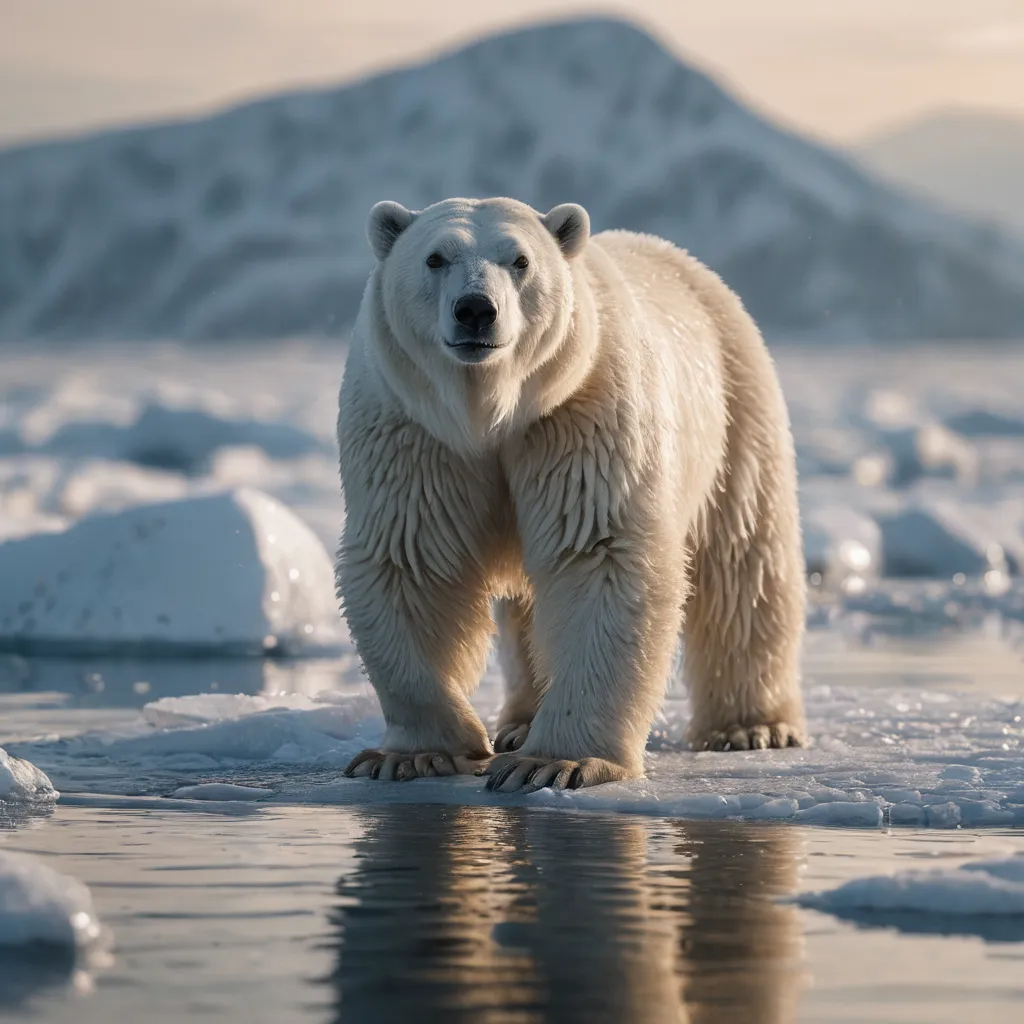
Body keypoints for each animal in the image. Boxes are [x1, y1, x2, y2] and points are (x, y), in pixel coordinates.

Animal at [336, 196, 806, 792]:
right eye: (435, 257)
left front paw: (555, 762)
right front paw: (411, 756)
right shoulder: (415, 431)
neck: (490, 413)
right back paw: (519, 722)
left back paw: (752, 727)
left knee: (744, 565)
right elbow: (411, 559)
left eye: (520, 260)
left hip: (734, 400)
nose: (475, 310)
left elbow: (598, 555)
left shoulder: (580, 411)